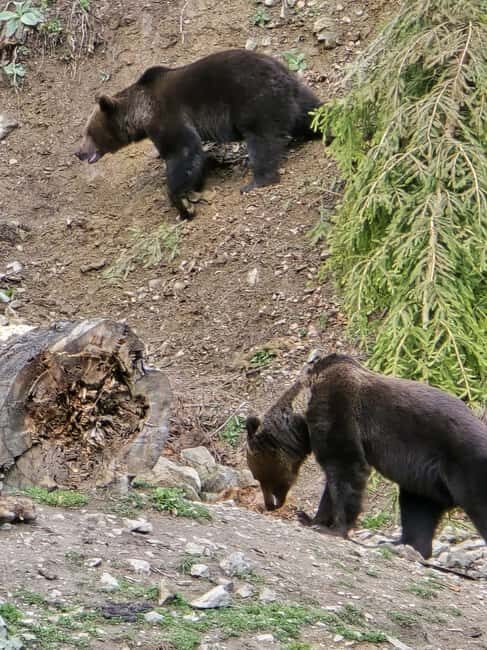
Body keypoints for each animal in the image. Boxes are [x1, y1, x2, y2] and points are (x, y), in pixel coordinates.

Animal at [75, 49, 322, 219]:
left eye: (87, 132)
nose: (78, 152)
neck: (141, 114)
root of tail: (280, 71)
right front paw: (194, 188)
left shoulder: (168, 115)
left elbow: (183, 150)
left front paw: (183, 205)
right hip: (296, 95)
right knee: (312, 113)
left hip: (254, 99)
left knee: (262, 142)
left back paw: (257, 181)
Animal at [246, 351, 487, 559]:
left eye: (258, 476)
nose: (269, 504)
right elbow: (333, 480)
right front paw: (311, 519)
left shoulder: (337, 409)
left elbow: (346, 467)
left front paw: (335, 528)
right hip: (426, 480)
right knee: (418, 510)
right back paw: (402, 545)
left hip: (464, 466)